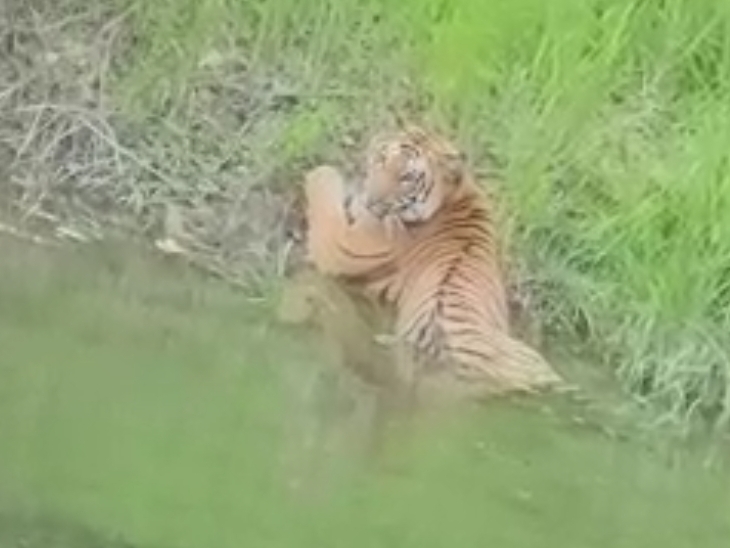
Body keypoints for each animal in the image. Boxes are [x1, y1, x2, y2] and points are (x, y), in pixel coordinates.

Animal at [299, 123, 565, 403]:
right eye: (382, 160)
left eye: (406, 177)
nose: (372, 200)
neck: (457, 192)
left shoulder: (342, 246)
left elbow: (322, 191)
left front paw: (321, 171)